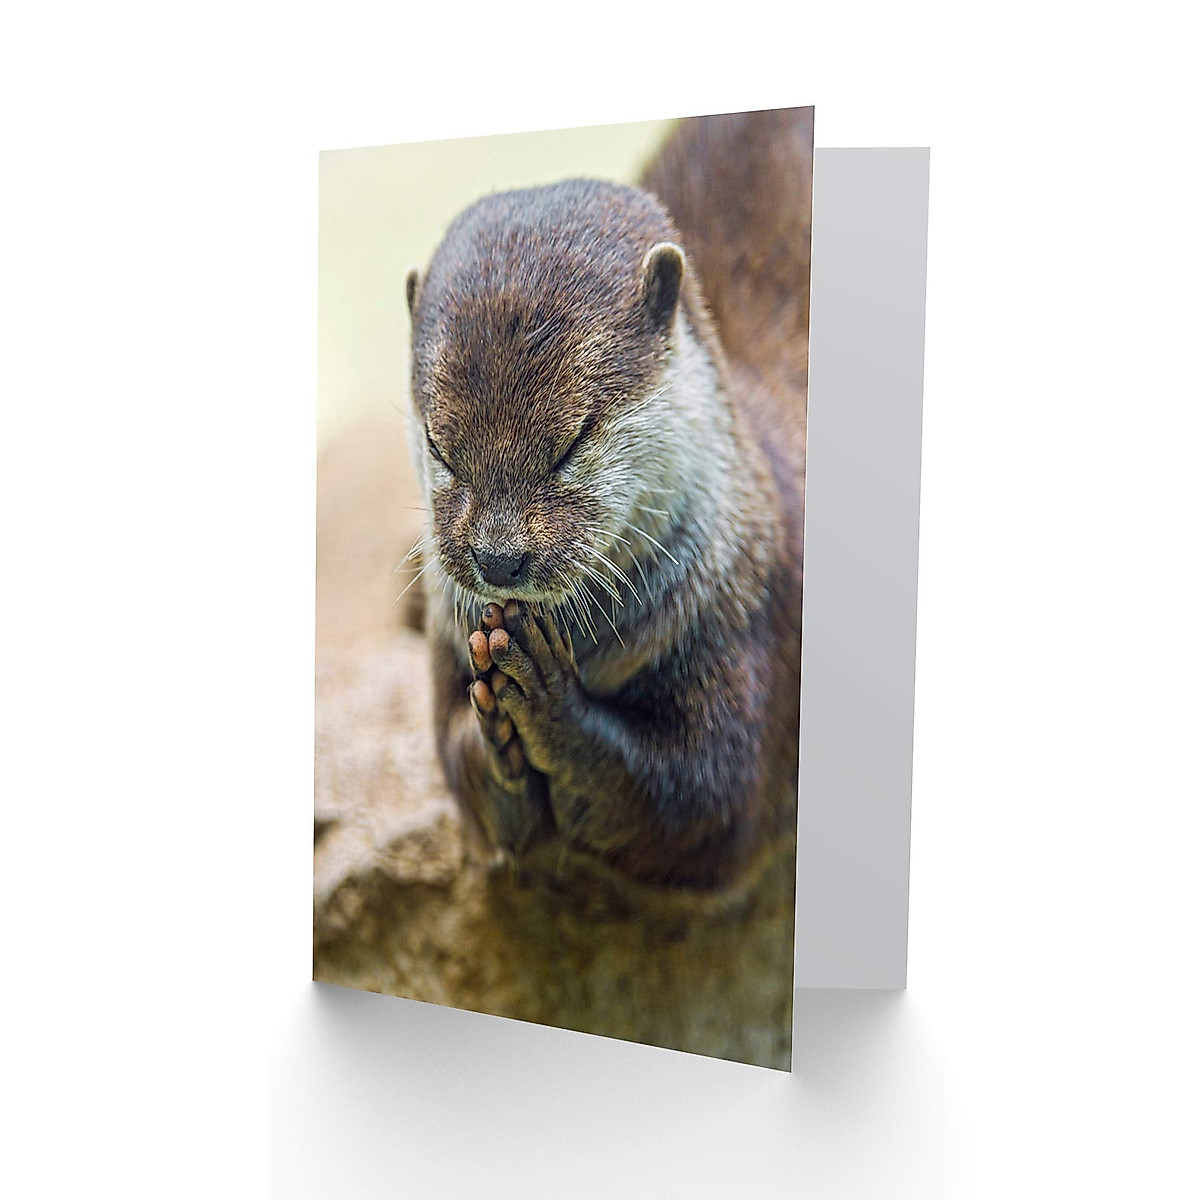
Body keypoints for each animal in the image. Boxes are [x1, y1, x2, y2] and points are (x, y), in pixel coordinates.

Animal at [404, 109, 812, 892]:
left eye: (572, 440)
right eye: (440, 447)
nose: (497, 559)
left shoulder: (749, 626)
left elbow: (704, 802)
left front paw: (547, 700)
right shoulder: (445, 642)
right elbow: (458, 769)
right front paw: (493, 730)